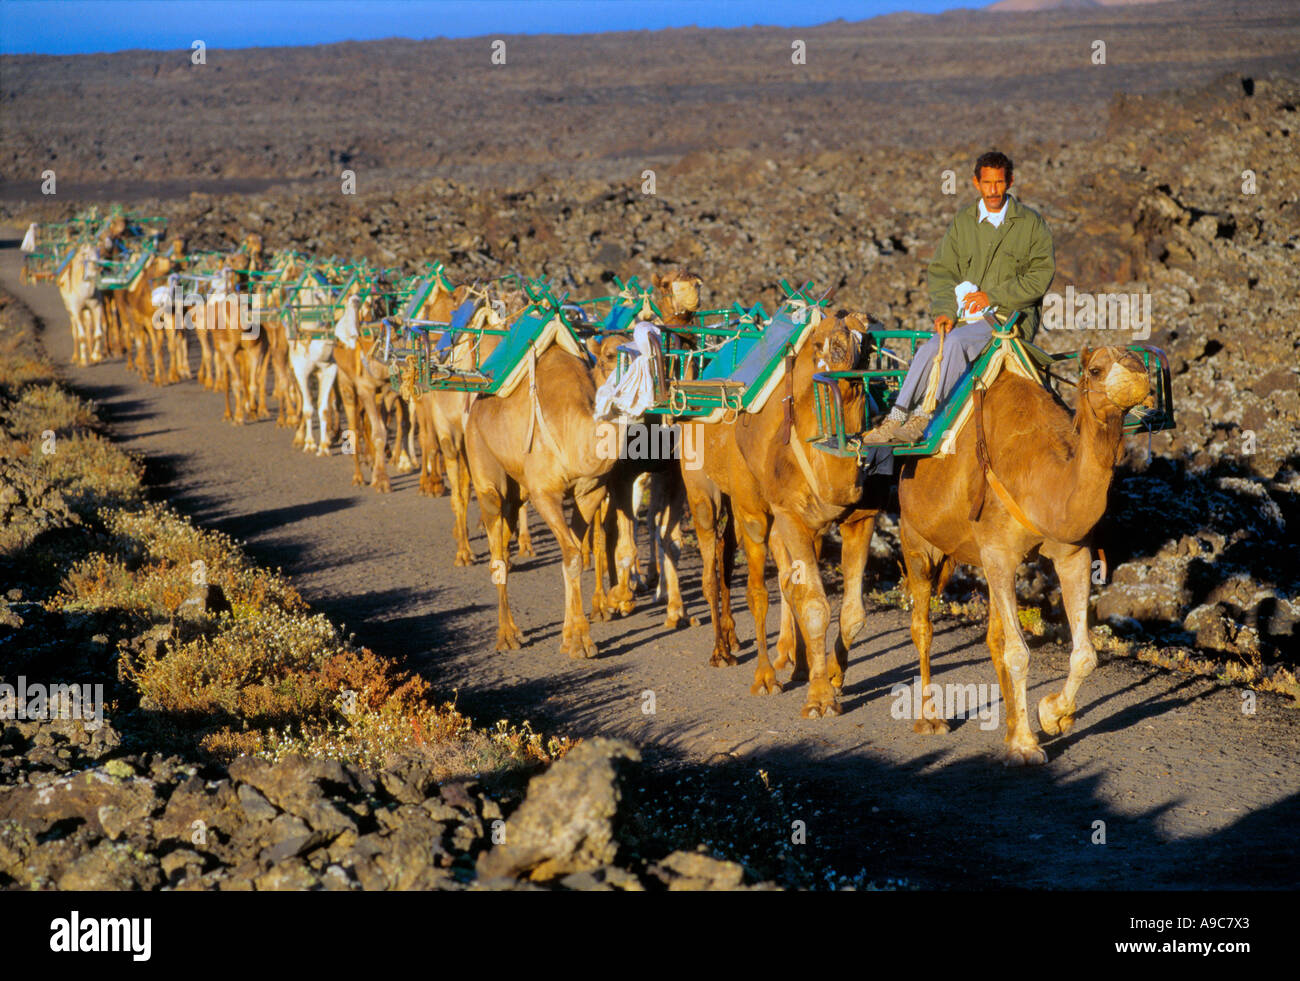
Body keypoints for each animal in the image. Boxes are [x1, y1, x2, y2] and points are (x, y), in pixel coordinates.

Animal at [682, 310, 882, 718]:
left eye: (868, 345)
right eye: (825, 345)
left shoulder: (858, 519)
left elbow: (851, 613)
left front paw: (832, 674)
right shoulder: (790, 515)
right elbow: (815, 605)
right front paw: (820, 699)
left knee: (773, 578)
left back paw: (795, 665)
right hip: (719, 496)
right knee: (740, 581)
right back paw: (744, 666)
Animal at [897, 345, 1151, 765]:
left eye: (1140, 360)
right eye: (1096, 369)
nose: (1139, 379)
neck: (1041, 477)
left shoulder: (1072, 554)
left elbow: (1085, 654)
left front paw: (1051, 716)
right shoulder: (998, 553)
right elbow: (1019, 653)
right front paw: (1026, 746)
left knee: (992, 635)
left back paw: (1010, 726)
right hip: (917, 538)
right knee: (922, 626)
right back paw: (929, 719)